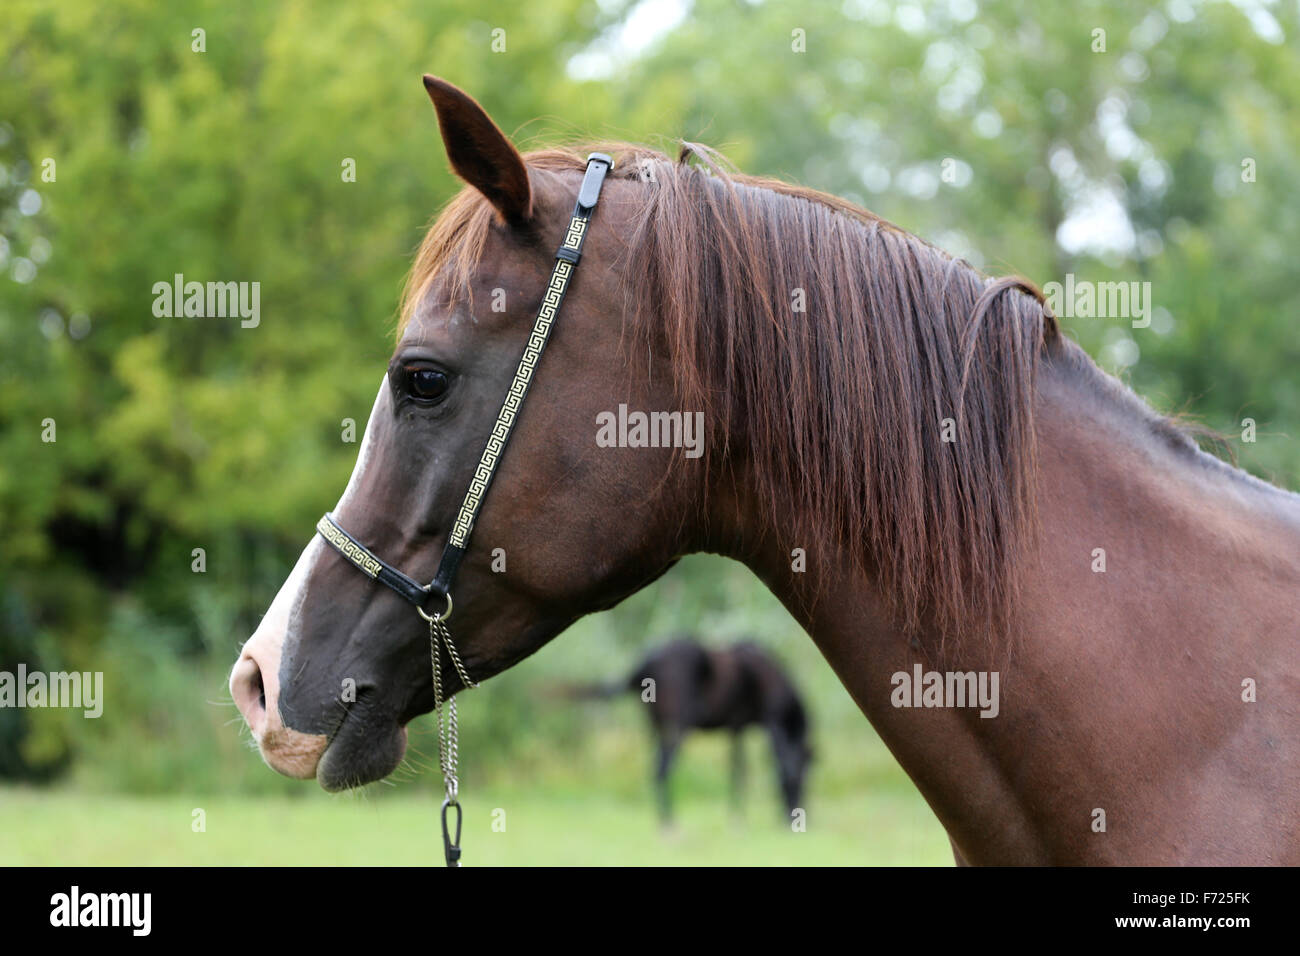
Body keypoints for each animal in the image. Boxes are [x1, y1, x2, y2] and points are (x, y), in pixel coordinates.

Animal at [571, 637, 812, 823]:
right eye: (801, 775)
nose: (793, 817)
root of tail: (648, 661)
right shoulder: (763, 723)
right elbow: (749, 769)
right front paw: (738, 821)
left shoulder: (737, 729)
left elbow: (738, 769)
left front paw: (737, 819)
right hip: (679, 726)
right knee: (662, 770)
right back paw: (669, 824)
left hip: (655, 726)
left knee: (654, 769)